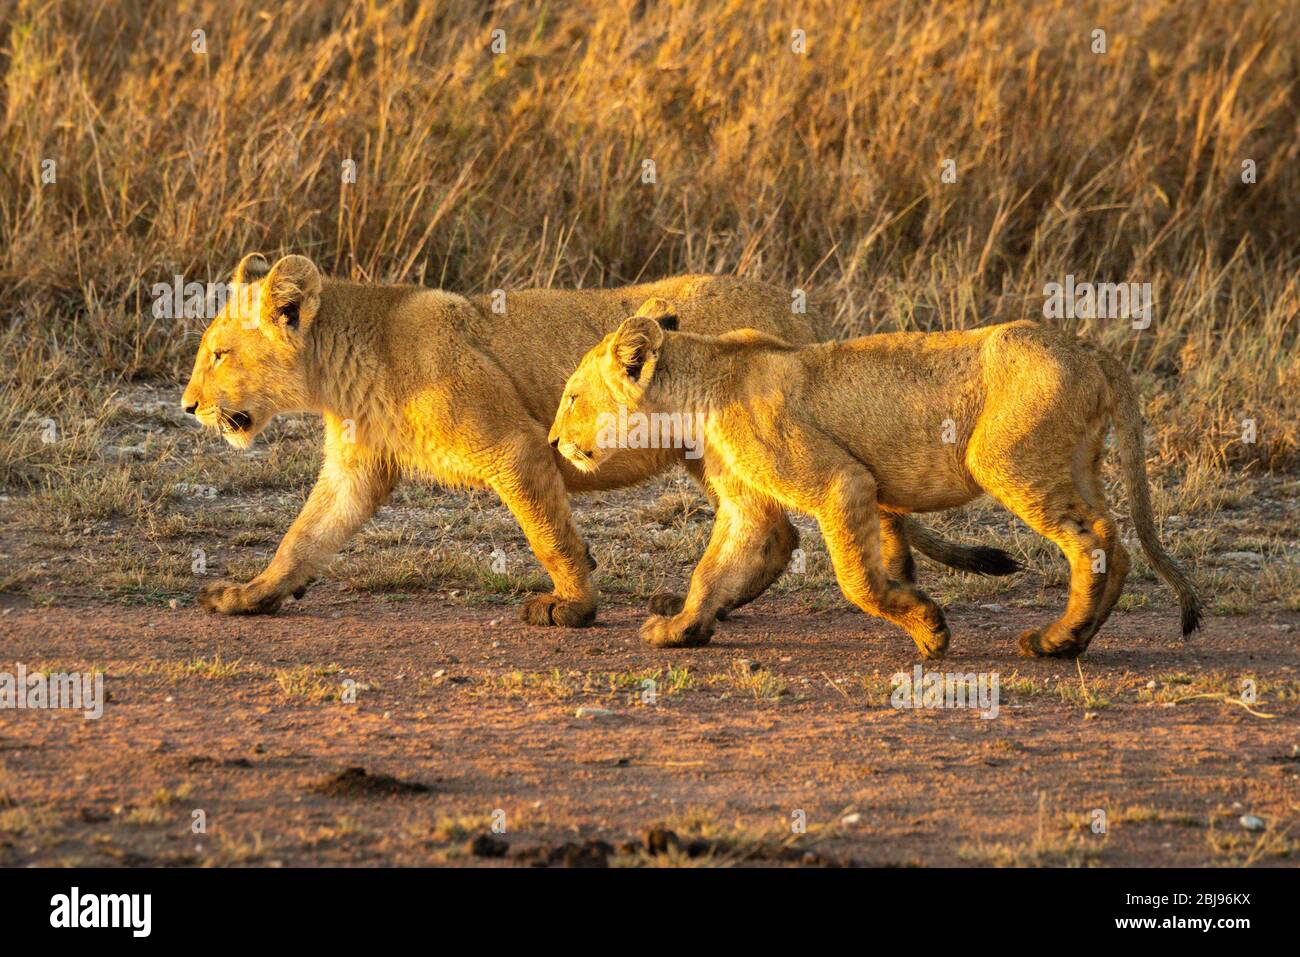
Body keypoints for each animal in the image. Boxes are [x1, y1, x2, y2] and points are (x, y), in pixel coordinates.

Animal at [181, 254, 1019, 627]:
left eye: (218, 352)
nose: (188, 405)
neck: (347, 358)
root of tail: (793, 312)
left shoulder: (514, 447)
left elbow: (549, 533)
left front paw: (573, 605)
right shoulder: (357, 471)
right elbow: (303, 537)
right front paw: (251, 595)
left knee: (787, 521)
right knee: (776, 531)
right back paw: (706, 608)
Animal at [549, 305, 1202, 658]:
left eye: (573, 397)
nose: (553, 443)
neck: (696, 393)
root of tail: (1088, 347)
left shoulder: (842, 482)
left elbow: (858, 580)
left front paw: (930, 630)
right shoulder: (747, 504)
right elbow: (713, 572)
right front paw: (681, 628)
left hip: (1004, 459)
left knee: (1090, 542)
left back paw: (1058, 639)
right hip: (1076, 464)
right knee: (1114, 542)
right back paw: (1071, 642)